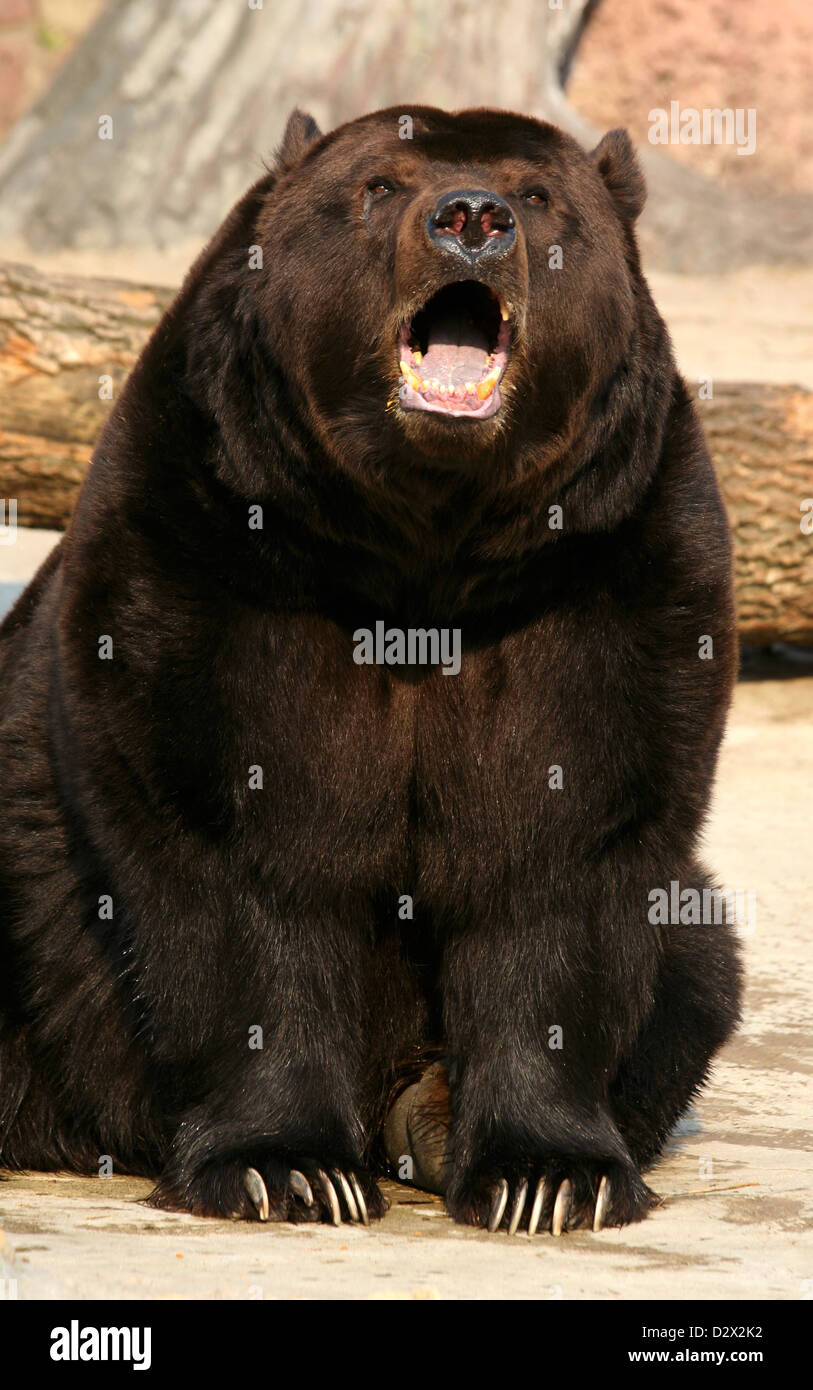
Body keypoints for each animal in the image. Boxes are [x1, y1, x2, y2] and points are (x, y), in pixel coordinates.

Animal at [0, 105, 741, 1234]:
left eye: (538, 195)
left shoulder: (598, 578)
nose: (470, 217)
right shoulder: (219, 551)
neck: (422, 558)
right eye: (380, 184)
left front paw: (546, 1175)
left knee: (701, 961)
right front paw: (288, 1167)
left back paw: (425, 1113)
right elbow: (245, 854)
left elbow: (564, 852)